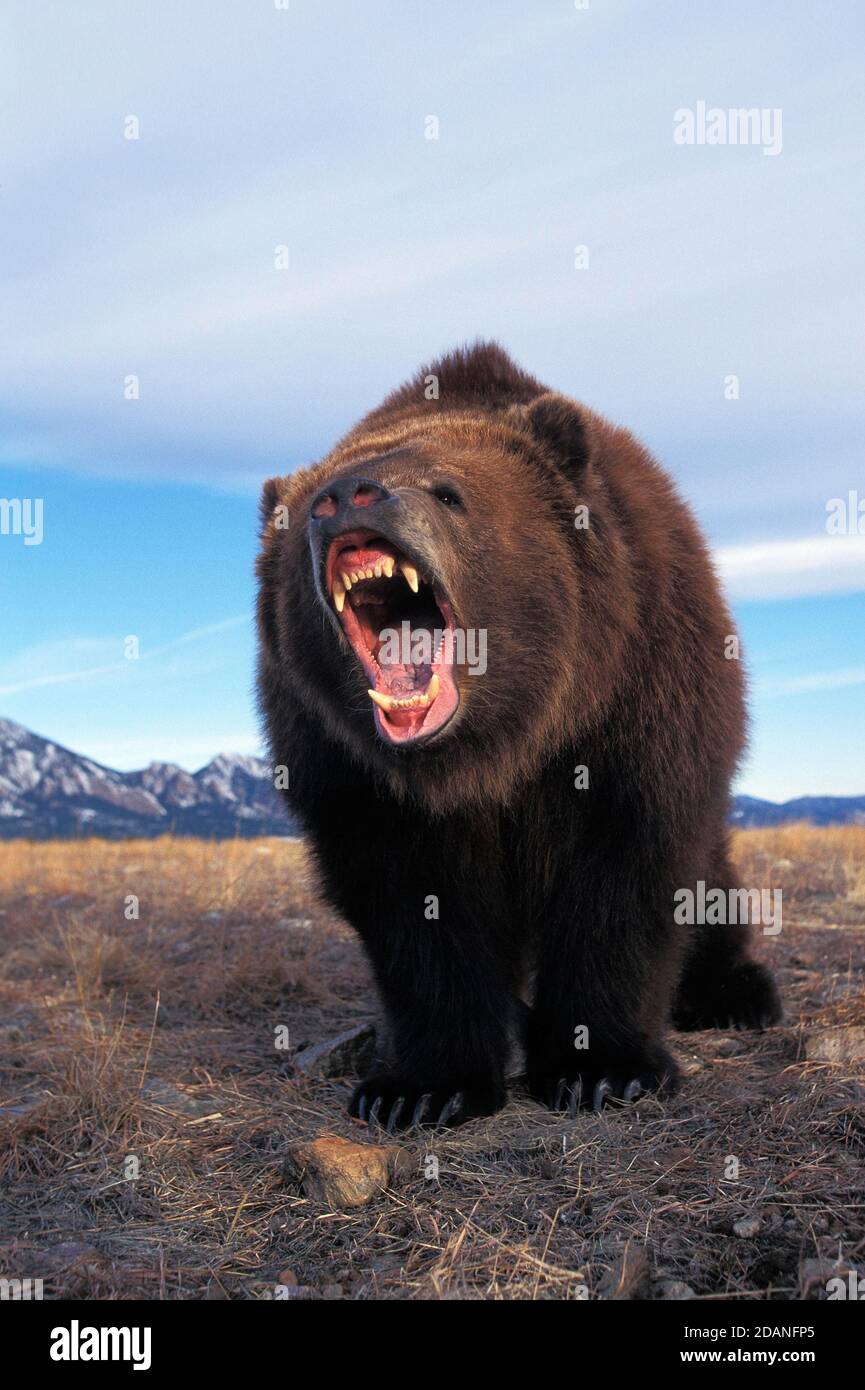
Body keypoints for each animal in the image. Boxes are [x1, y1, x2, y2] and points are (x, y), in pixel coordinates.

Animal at [256, 342, 781, 1129]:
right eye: (304, 512)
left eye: (448, 492)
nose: (346, 496)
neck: (494, 746)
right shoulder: (352, 773)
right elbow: (414, 911)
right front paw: (420, 1088)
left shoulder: (634, 701)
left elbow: (626, 875)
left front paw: (603, 1069)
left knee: (710, 883)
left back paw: (736, 992)